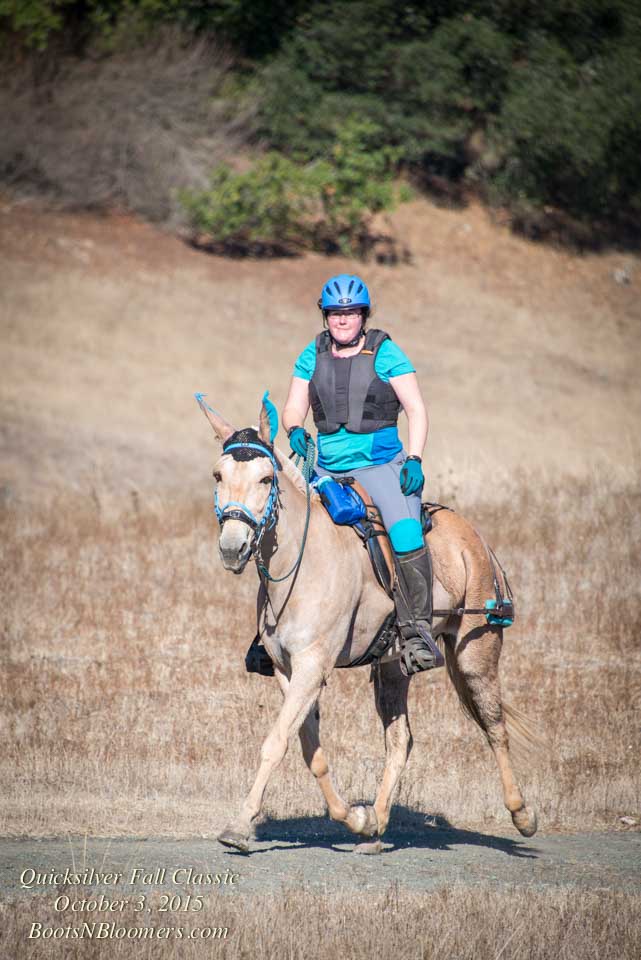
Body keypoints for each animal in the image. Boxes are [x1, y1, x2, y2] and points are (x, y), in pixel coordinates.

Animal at [198, 395, 538, 854]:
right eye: (218, 475)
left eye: (266, 479)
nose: (233, 548)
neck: (302, 562)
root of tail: (474, 538)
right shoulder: (289, 671)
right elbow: (310, 749)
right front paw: (356, 819)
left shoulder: (312, 667)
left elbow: (276, 742)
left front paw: (238, 826)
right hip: (394, 667)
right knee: (400, 740)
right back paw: (375, 828)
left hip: (476, 655)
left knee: (494, 726)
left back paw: (522, 816)